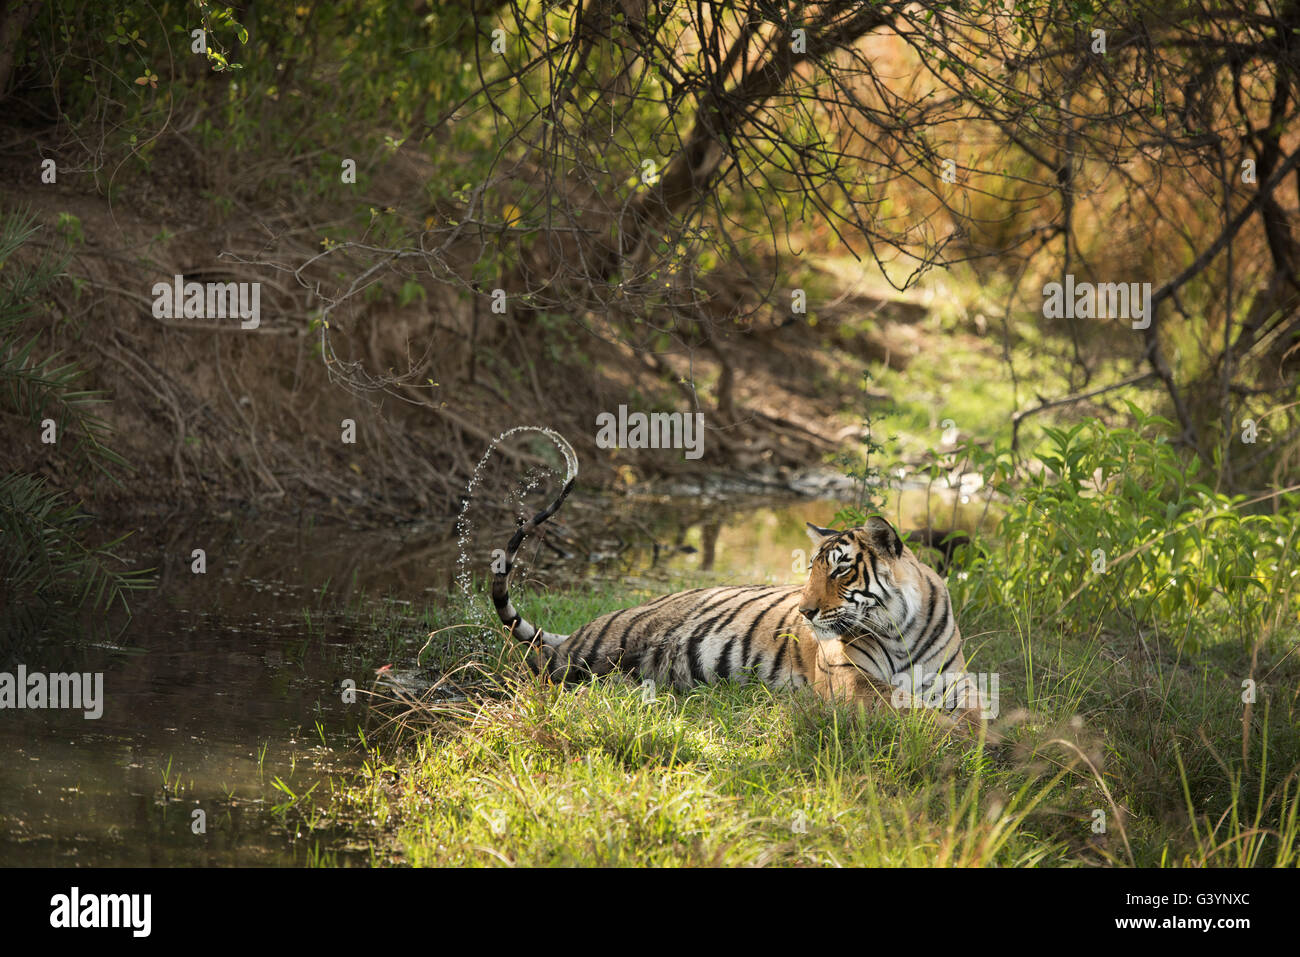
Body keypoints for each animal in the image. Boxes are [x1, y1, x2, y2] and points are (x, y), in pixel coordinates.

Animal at [490, 478, 984, 725]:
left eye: (840, 570)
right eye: (812, 569)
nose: (805, 612)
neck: (901, 629)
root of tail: (580, 630)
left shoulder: (955, 678)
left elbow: (978, 704)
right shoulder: (850, 678)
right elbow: (898, 703)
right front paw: (947, 729)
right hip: (593, 653)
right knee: (531, 669)